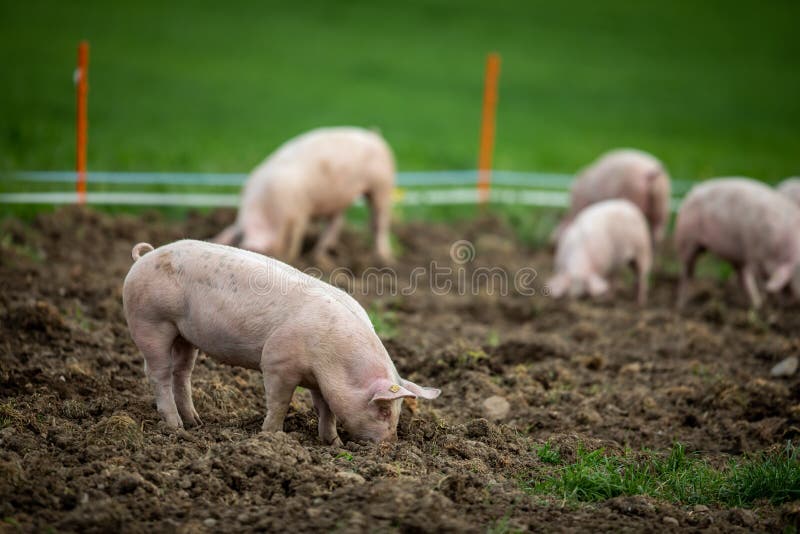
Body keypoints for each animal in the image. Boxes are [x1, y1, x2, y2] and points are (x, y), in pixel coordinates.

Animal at [122, 240, 439, 444]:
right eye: (384, 410)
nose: (389, 445)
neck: (333, 359)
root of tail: (144, 258)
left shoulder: (320, 381)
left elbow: (326, 409)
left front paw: (333, 443)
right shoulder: (277, 362)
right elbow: (280, 402)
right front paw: (270, 437)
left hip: (184, 335)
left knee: (182, 372)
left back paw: (195, 422)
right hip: (150, 321)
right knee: (157, 373)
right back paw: (175, 428)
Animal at [215, 127, 396, 265]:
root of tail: (374, 135)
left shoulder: (298, 213)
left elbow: (295, 238)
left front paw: (290, 258)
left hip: (382, 186)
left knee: (379, 221)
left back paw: (383, 257)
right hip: (339, 200)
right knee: (335, 223)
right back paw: (319, 255)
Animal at [675, 178, 800, 309]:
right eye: (798, 273)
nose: (797, 301)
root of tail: (693, 190)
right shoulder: (755, 252)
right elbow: (761, 279)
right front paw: (767, 302)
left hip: (734, 255)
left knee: (740, 275)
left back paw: (753, 303)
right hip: (686, 240)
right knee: (687, 272)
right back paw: (681, 305)